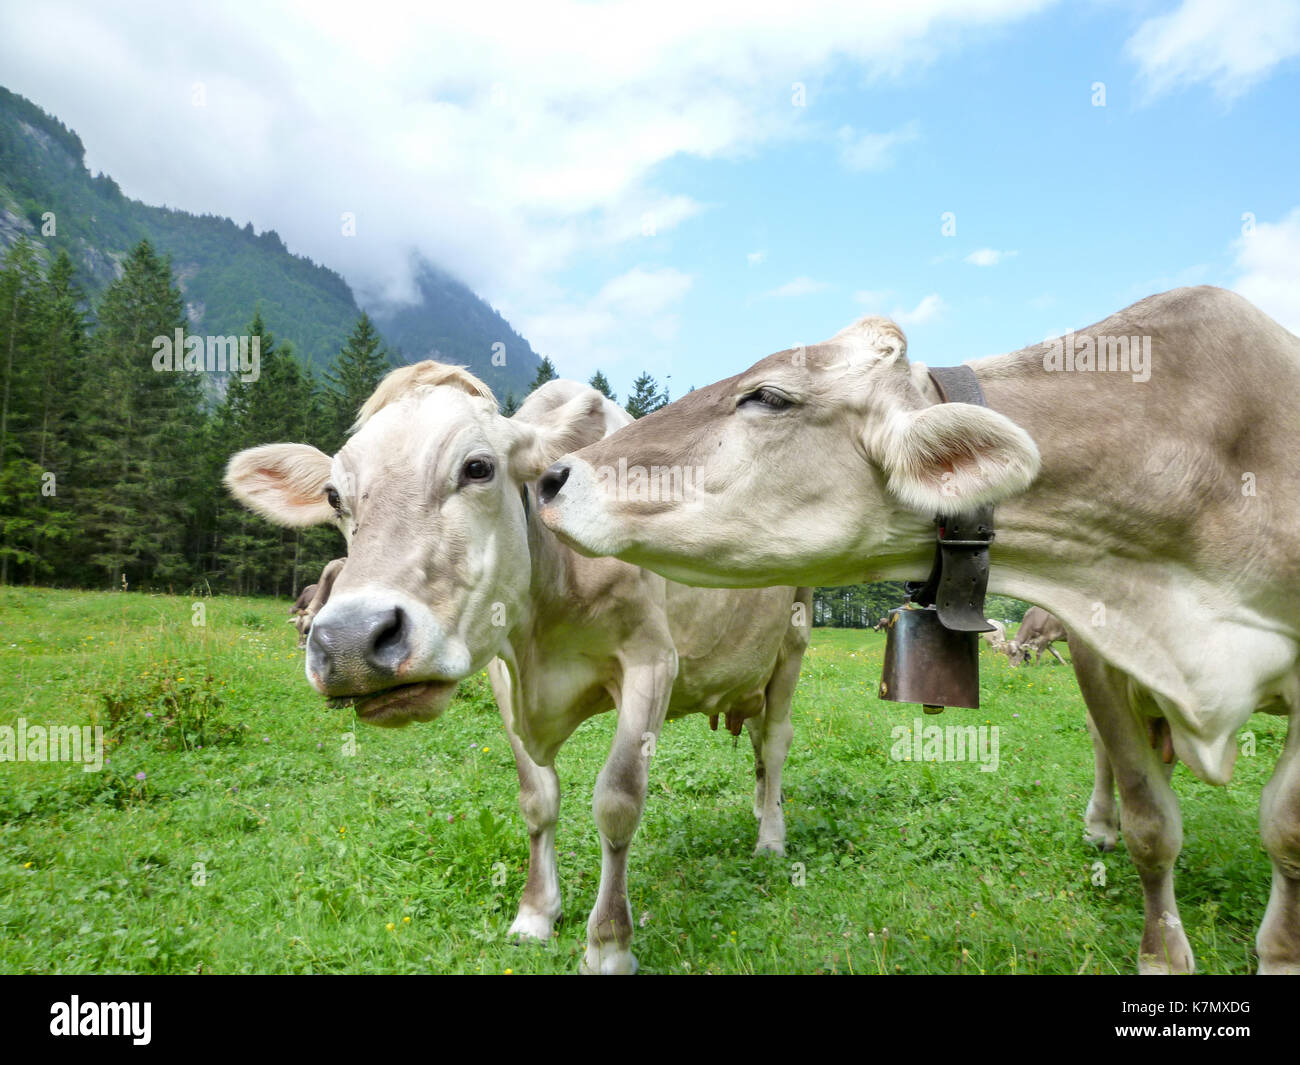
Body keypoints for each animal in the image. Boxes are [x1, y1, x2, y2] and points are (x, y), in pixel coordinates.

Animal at [224, 366, 811, 975]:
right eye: (333, 495)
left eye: (477, 468)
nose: (349, 643)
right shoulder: (504, 674)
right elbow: (537, 798)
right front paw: (535, 915)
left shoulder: (651, 661)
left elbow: (617, 801)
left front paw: (609, 943)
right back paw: (761, 806)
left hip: (793, 640)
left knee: (775, 741)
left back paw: (771, 838)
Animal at [537, 286, 1300, 974]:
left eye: (770, 397)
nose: (553, 478)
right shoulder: (1103, 652)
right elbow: (1152, 822)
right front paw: (1162, 954)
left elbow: (1284, 827)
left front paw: (1275, 955)